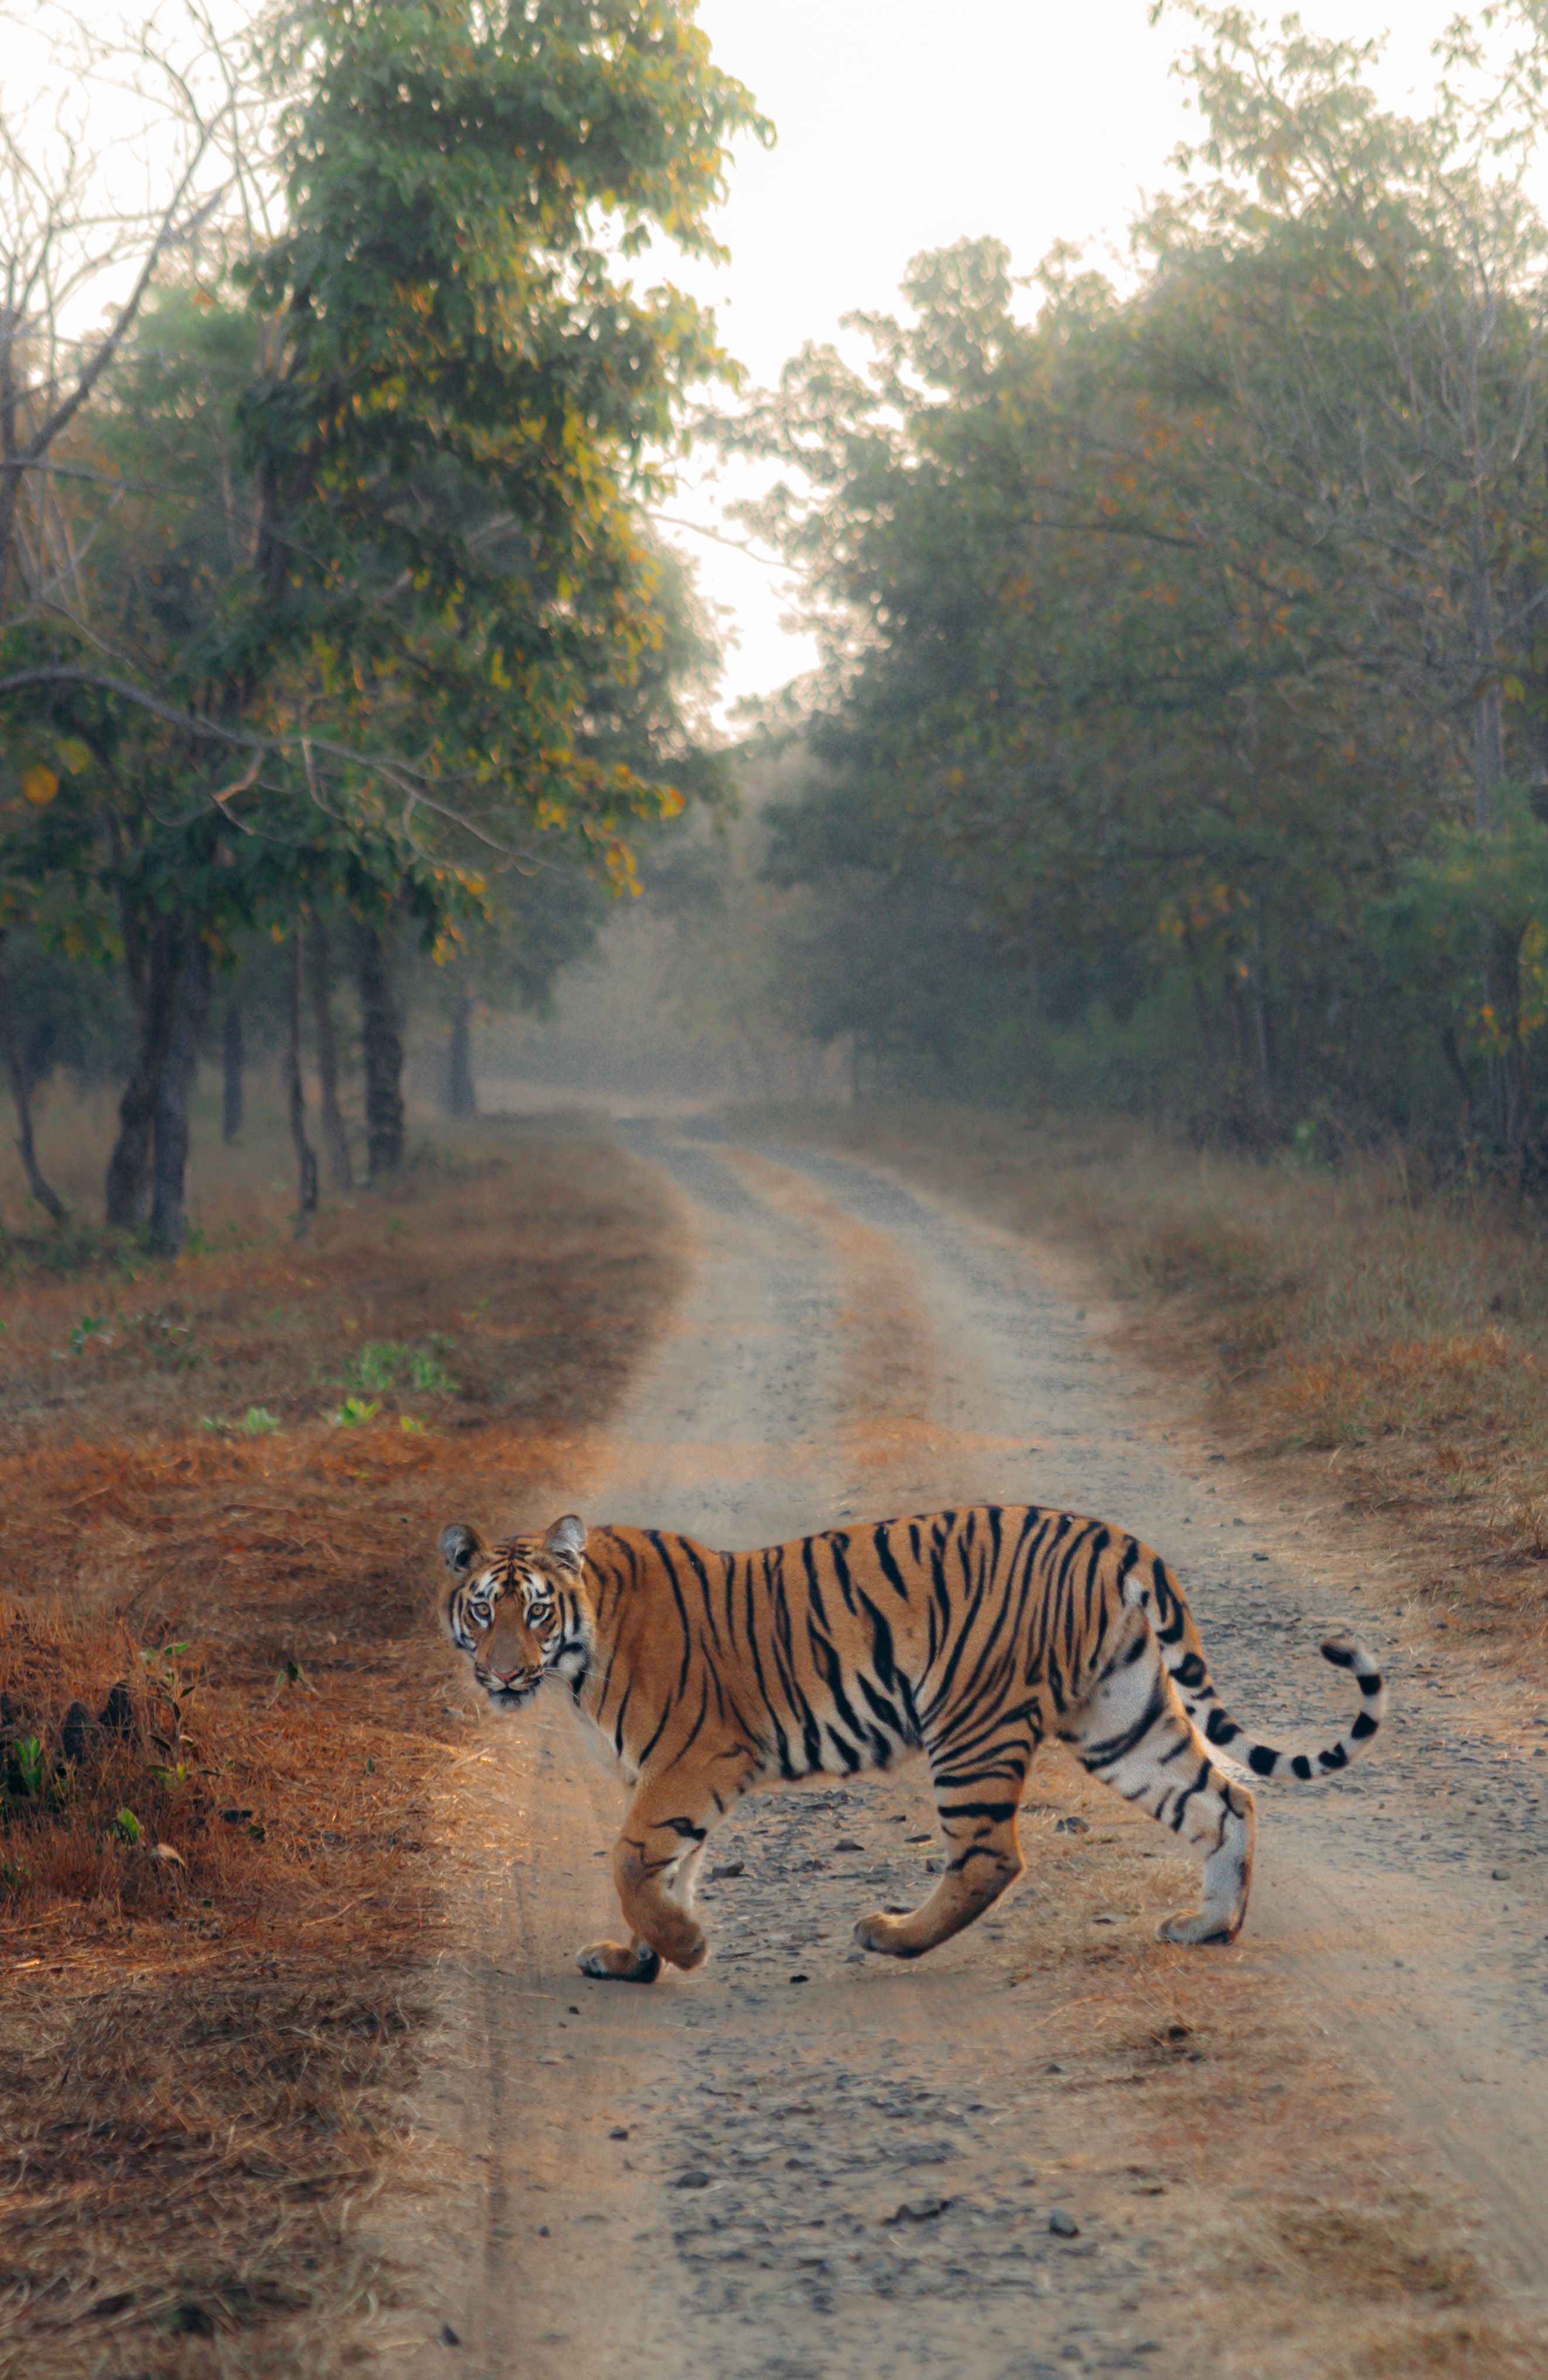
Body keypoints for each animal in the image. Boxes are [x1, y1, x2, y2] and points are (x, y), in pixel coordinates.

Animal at [437, 1505, 1386, 1984]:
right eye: (482, 1610)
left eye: (535, 1611)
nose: (502, 1674)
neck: (583, 1646)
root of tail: (1113, 1534)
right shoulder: (667, 1774)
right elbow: (666, 1868)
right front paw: (636, 1956)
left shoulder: (695, 1759)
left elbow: (634, 1859)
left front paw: (682, 1948)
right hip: (1120, 1715)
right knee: (1225, 1800)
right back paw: (1208, 1927)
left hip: (970, 1722)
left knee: (989, 1857)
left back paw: (890, 1936)